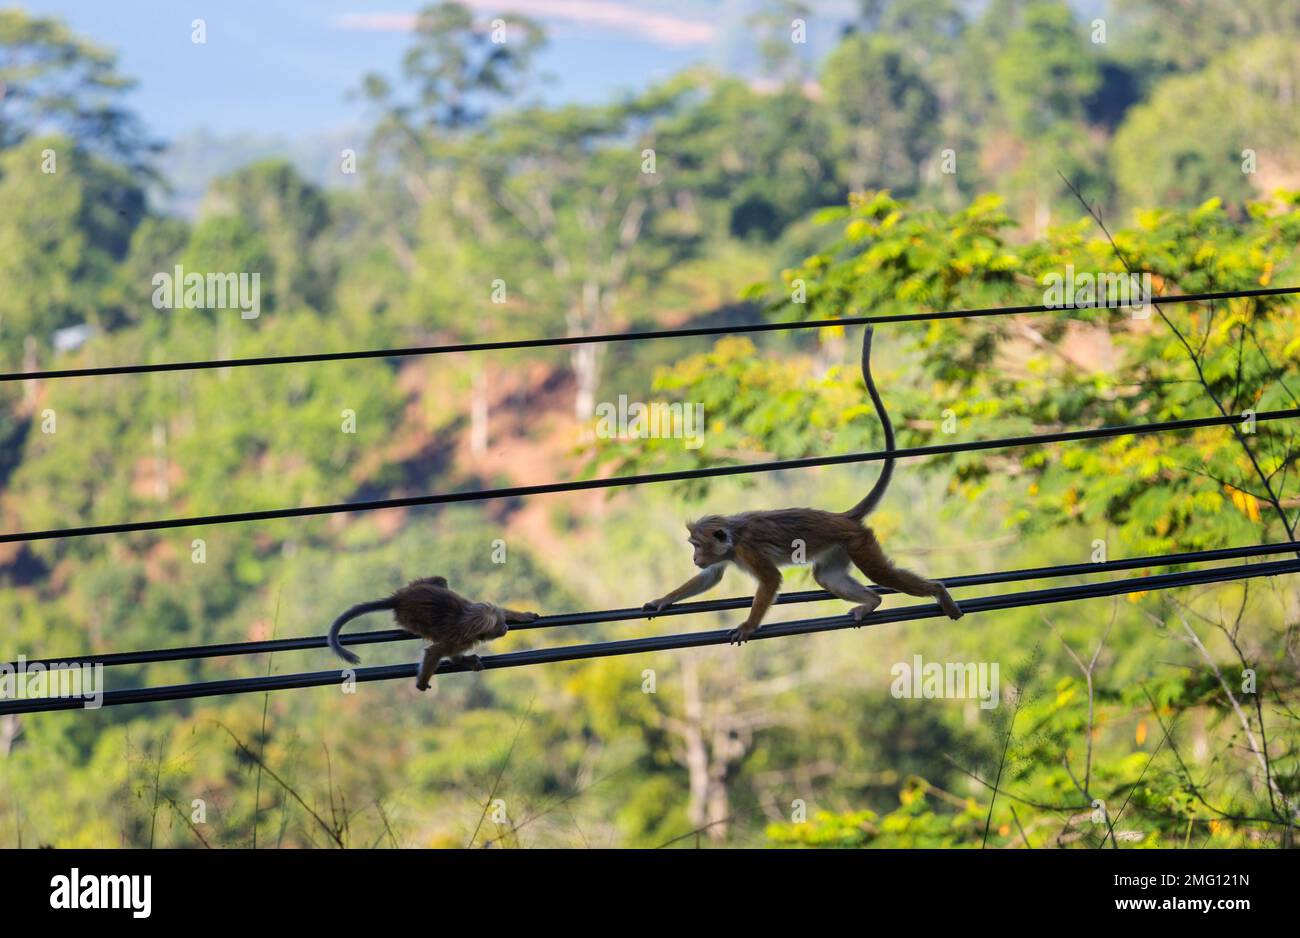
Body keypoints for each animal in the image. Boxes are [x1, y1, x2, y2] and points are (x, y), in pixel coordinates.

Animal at [327, 576, 539, 690]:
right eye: (499, 626)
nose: (505, 628)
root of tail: (399, 598)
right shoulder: (459, 640)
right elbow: (436, 652)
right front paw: (421, 683)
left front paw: (523, 616)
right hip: (408, 619)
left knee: (439, 581)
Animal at [643, 325, 963, 646]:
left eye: (697, 545)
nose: (695, 557)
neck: (733, 542)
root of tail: (842, 517)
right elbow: (710, 576)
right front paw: (663, 600)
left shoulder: (749, 552)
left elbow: (771, 580)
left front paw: (748, 625)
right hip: (840, 547)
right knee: (827, 576)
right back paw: (872, 602)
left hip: (860, 542)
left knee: (882, 574)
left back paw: (937, 591)